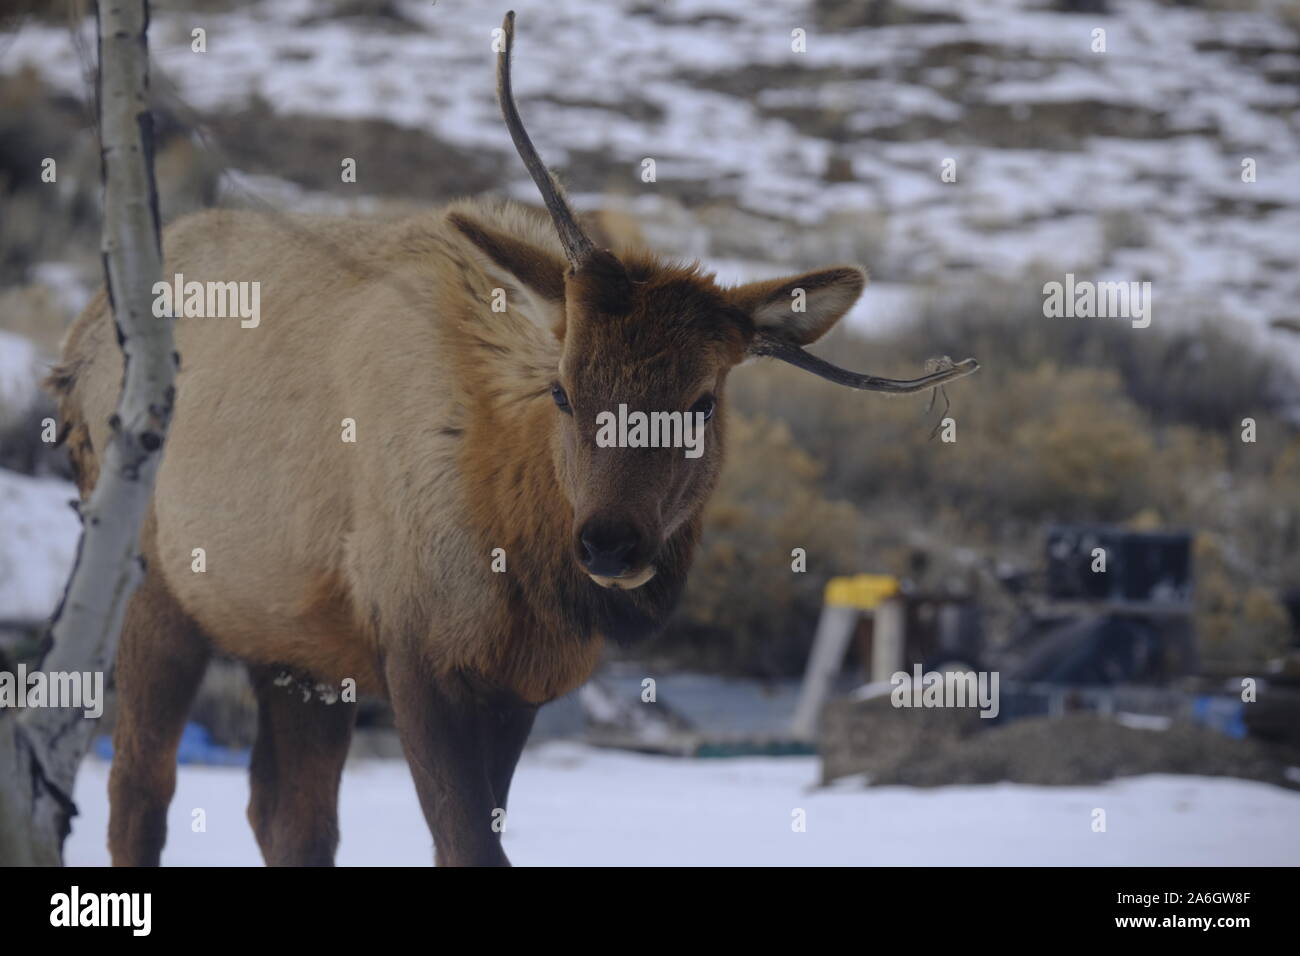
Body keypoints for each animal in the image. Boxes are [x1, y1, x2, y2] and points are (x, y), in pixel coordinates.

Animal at [48, 11, 978, 866]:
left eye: (703, 401)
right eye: (564, 389)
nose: (609, 542)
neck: (516, 540)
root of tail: (81, 333)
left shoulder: (518, 684)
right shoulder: (419, 655)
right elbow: (464, 845)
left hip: (292, 641)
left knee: (285, 813)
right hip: (151, 583)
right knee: (138, 786)